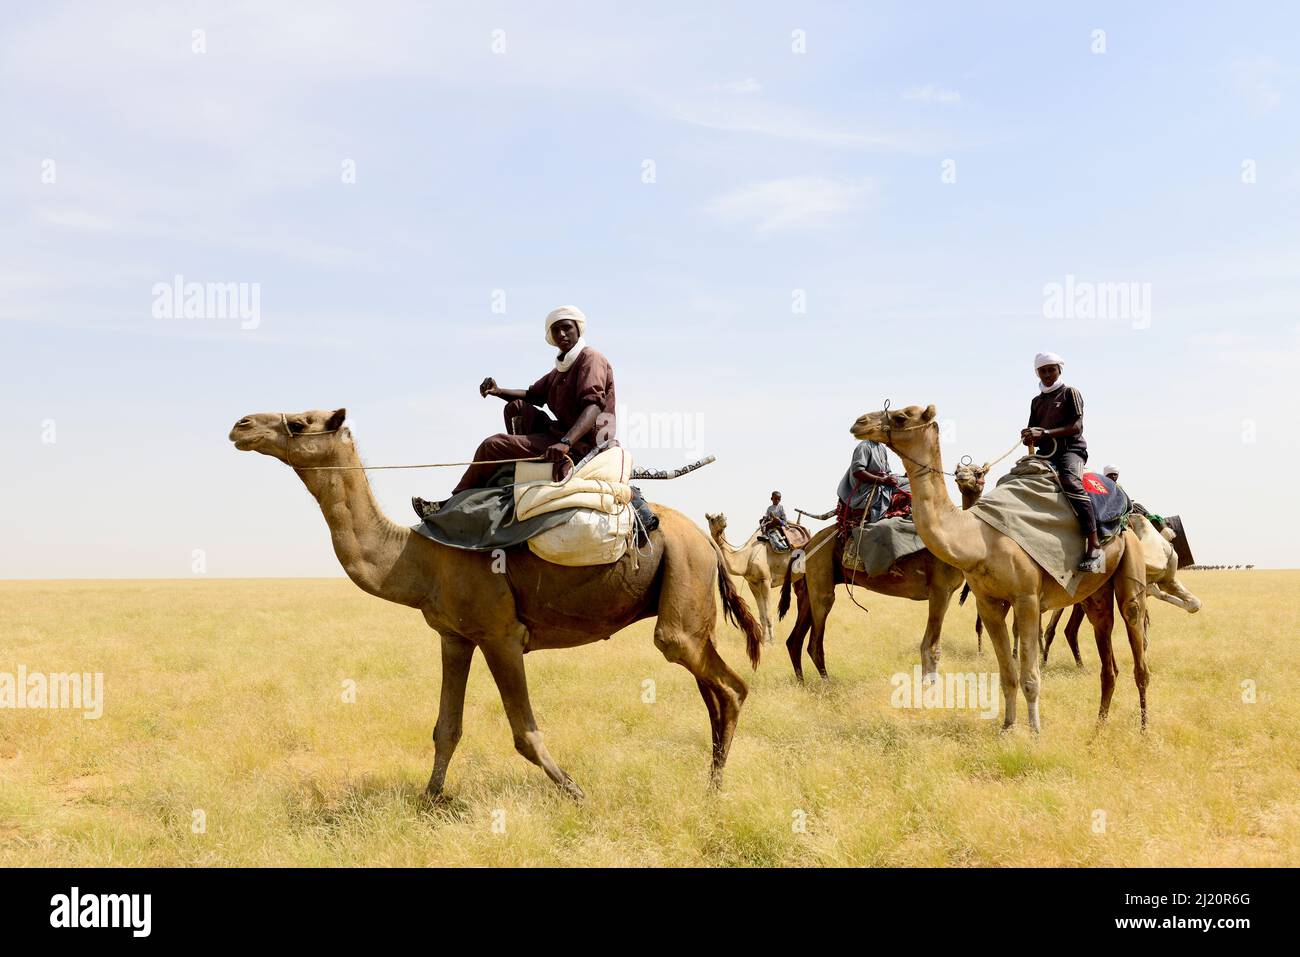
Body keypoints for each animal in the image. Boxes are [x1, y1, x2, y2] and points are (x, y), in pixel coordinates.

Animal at [229, 408, 764, 800]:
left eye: (301, 422)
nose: (242, 425)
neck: (416, 557)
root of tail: (705, 540)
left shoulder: (501, 635)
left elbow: (524, 733)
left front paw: (576, 793)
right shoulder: (454, 635)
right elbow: (446, 727)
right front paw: (430, 799)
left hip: (683, 585)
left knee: (728, 685)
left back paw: (714, 791)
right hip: (688, 600)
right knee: (715, 691)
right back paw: (712, 781)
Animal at [705, 512, 804, 647]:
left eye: (720, 515)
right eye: (711, 518)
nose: (723, 519)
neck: (747, 557)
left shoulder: (765, 580)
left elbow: (768, 614)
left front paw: (772, 642)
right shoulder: (753, 583)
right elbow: (762, 616)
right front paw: (763, 641)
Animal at [774, 463, 988, 682]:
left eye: (978, 472)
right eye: (959, 471)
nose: (962, 477)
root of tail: (807, 545)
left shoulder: (946, 592)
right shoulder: (939, 590)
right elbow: (932, 646)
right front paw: (929, 684)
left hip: (806, 589)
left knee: (794, 640)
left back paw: (802, 683)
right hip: (821, 576)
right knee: (815, 641)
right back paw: (827, 685)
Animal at [850, 404, 1149, 732]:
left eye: (903, 416)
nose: (859, 423)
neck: (977, 539)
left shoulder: (1027, 599)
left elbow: (1030, 676)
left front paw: (1035, 732)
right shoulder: (988, 602)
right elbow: (1007, 674)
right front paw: (1007, 727)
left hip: (1131, 567)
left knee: (1137, 647)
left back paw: (1144, 729)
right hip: (1096, 593)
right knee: (1107, 654)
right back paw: (1098, 728)